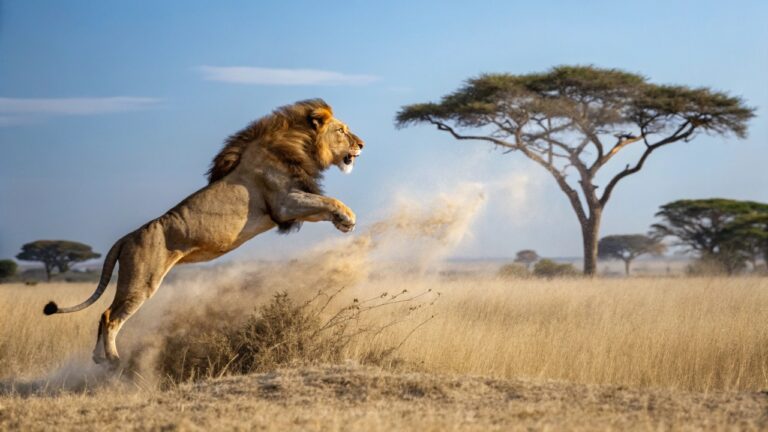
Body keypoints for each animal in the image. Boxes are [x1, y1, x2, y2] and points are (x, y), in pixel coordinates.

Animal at [42, 99, 365, 366]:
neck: (300, 146)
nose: (362, 144)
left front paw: (342, 222)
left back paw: (98, 359)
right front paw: (347, 216)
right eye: (342, 130)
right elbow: (327, 200)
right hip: (142, 280)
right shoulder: (284, 203)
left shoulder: (290, 205)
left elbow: (321, 207)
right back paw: (112, 359)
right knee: (109, 316)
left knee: (102, 315)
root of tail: (126, 237)